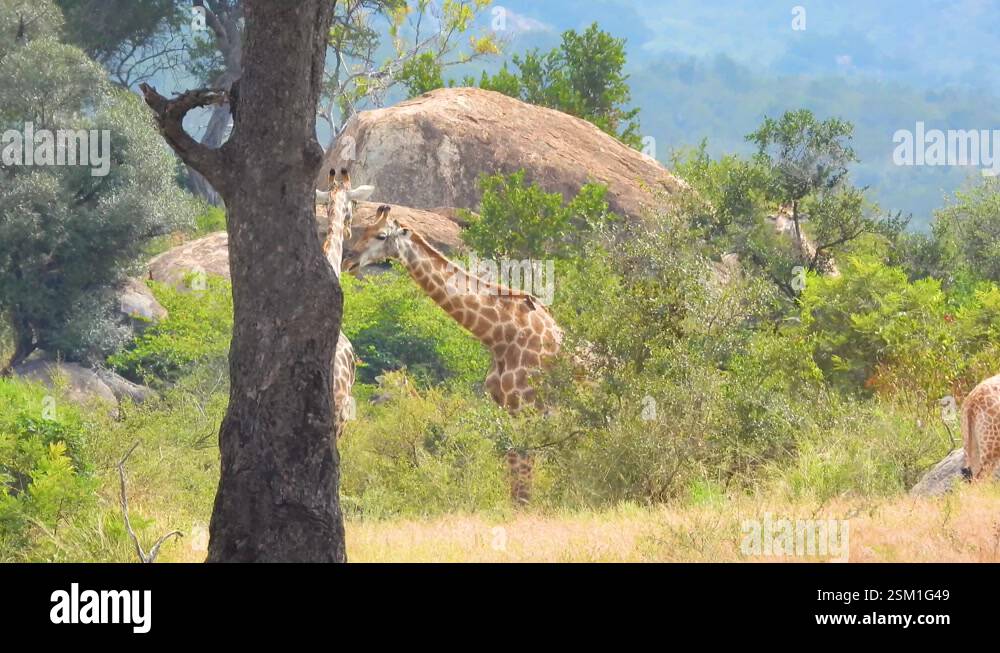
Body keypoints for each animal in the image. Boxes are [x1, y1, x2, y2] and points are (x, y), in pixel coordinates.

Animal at [344, 206, 563, 504]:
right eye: (361, 230)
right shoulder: (507, 409)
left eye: (380, 235)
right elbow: (514, 474)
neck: (500, 335)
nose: (348, 260)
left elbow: (523, 483)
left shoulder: (528, 409)